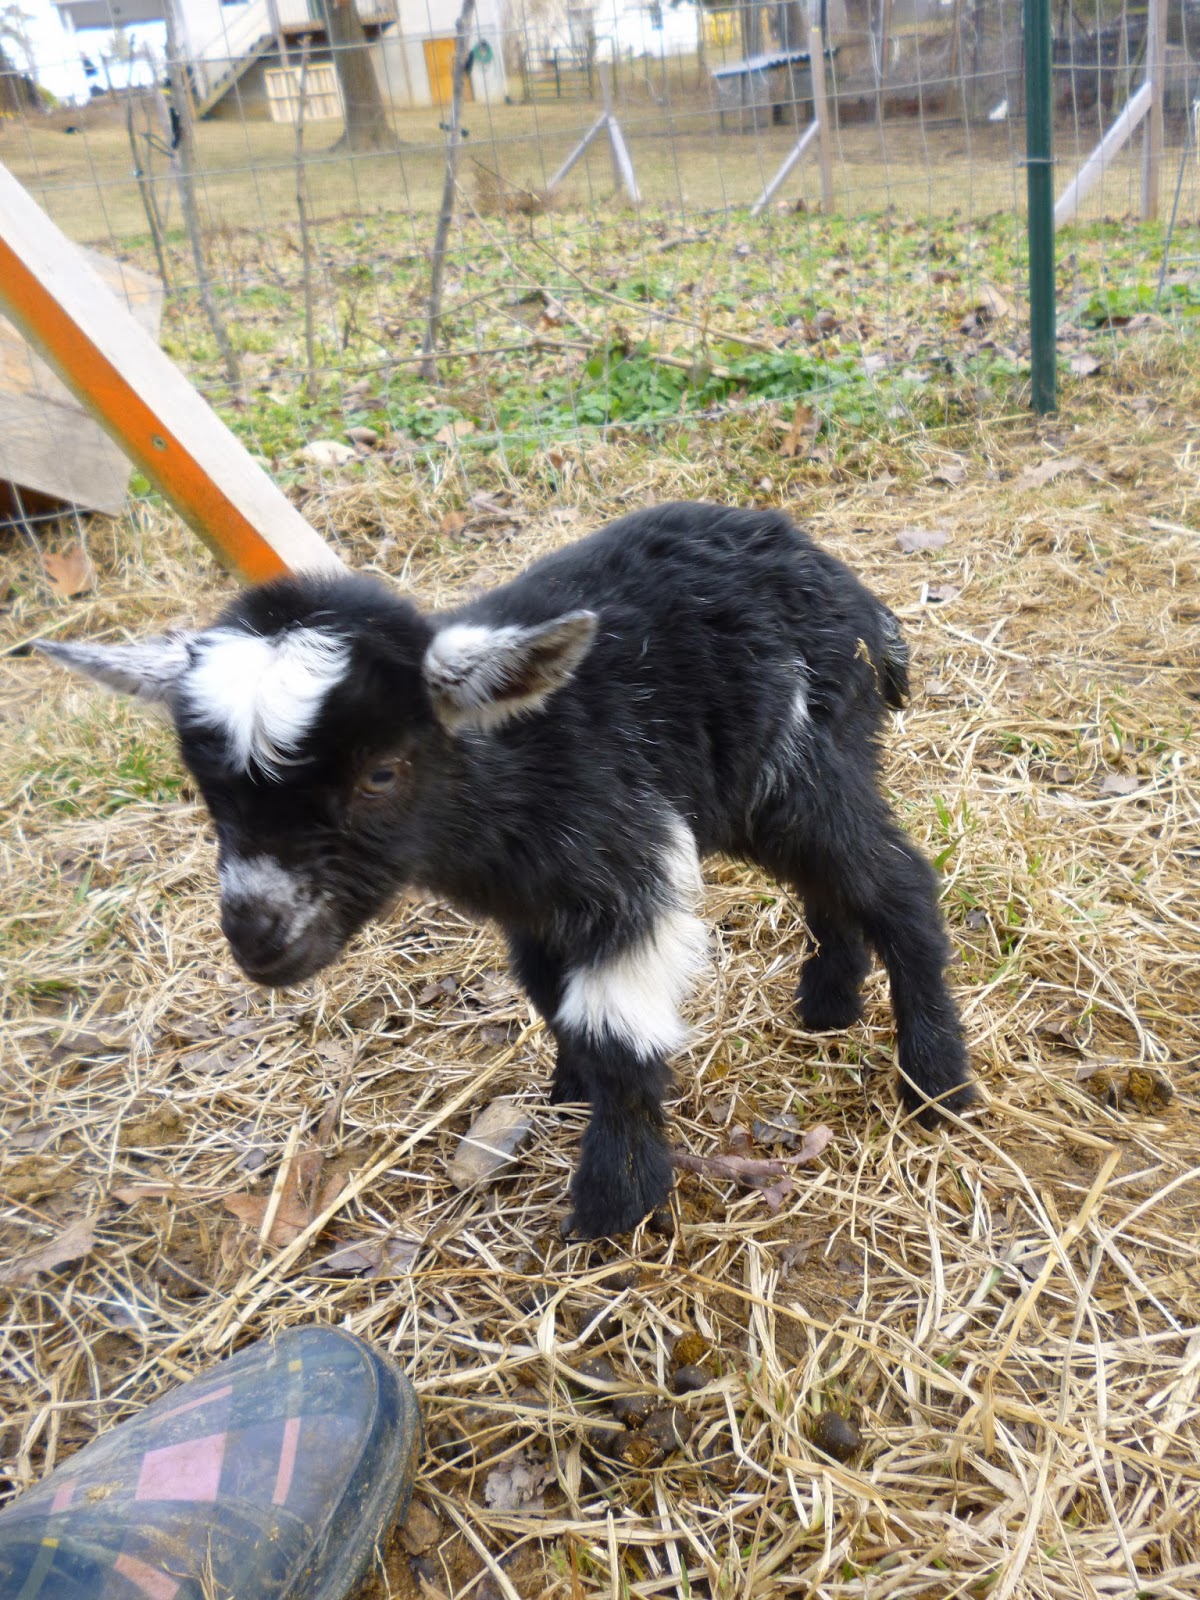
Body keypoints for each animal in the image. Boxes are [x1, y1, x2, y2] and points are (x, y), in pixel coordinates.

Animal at [39, 502, 974, 1237]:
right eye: (208, 791)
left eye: (382, 772)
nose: (257, 938)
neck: (512, 764)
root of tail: (863, 607)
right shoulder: (534, 908)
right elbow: (550, 997)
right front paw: (568, 1092)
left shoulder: (627, 864)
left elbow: (614, 1024)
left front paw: (614, 1203)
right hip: (761, 791)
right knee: (834, 886)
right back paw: (827, 1007)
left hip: (806, 762)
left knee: (897, 884)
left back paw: (935, 1079)